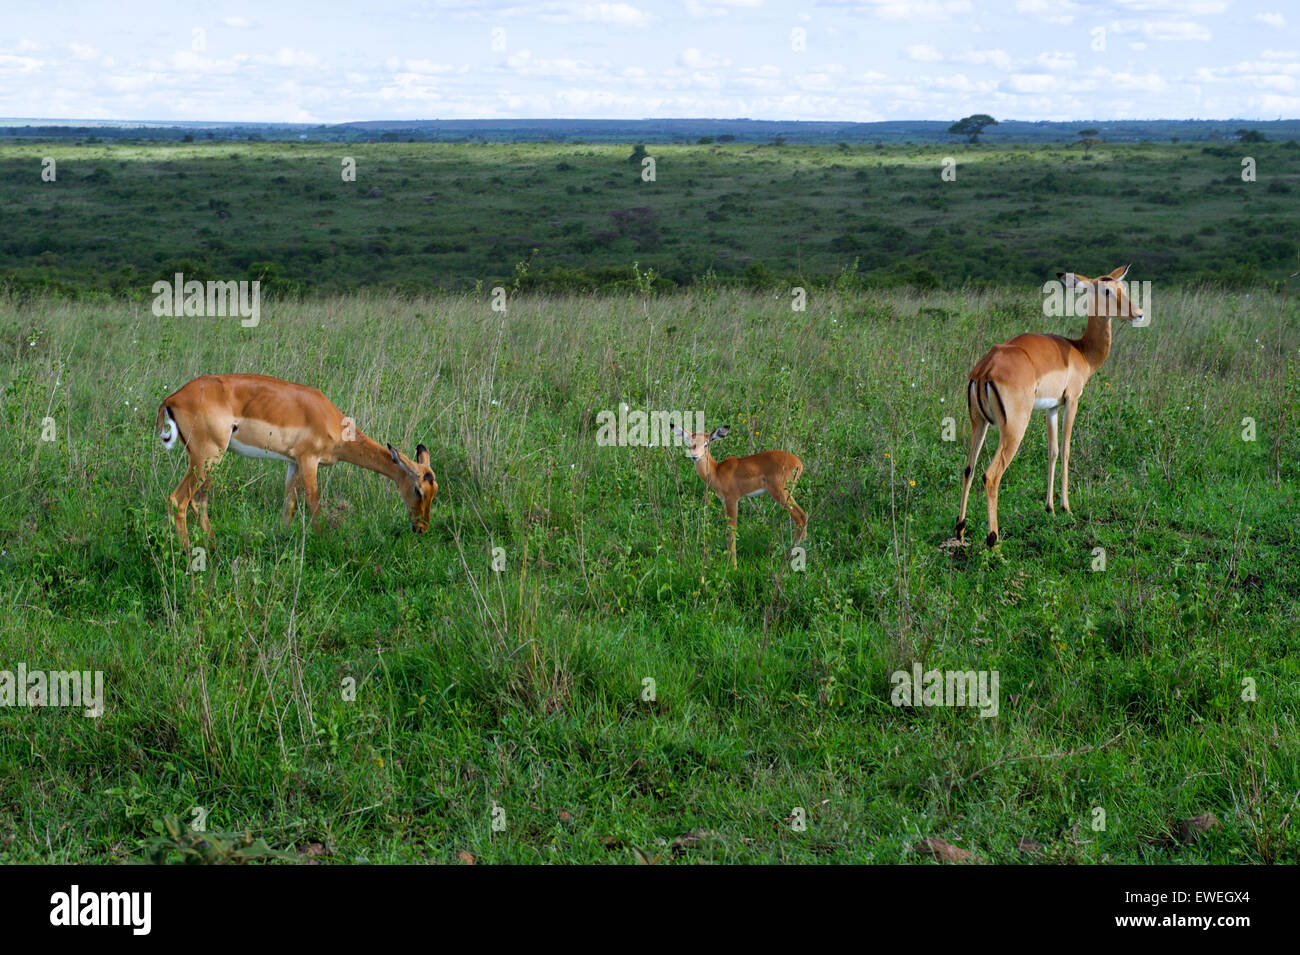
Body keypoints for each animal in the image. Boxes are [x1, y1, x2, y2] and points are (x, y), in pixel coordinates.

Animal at [156, 374, 437, 548]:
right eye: (418, 489)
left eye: (435, 490)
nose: (421, 528)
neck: (332, 420)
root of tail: (172, 398)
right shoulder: (309, 461)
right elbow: (314, 504)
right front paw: (323, 543)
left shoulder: (292, 463)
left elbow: (288, 504)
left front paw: (281, 538)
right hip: (207, 459)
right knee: (178, 500)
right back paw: (187, 553)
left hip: (207, 462)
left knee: (197, 500)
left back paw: (213, 543)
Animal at [671, 424, 807, 567]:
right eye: (690, 443)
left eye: (706, 444)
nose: (694, 456)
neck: (716, 472)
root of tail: (798, 463)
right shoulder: (724, 501)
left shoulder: (732, 499)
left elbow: (732, 530)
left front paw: (733, 565)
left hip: (781, 492)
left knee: (801, 517)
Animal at [955, 266, 1144, 547]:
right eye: (1107, 290)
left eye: (1125, 288)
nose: (1139, 314)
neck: (1081, 351)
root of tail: (985, 367)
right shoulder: (1072, 401)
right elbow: (1066, 450)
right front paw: (1066, 507)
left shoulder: (1051, 408)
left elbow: (1052, 451)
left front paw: (1050, 508)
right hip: (1014, 429)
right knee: (991, 475)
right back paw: (994, 540)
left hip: (979, 424)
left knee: (969, 469)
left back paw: (960, 530)